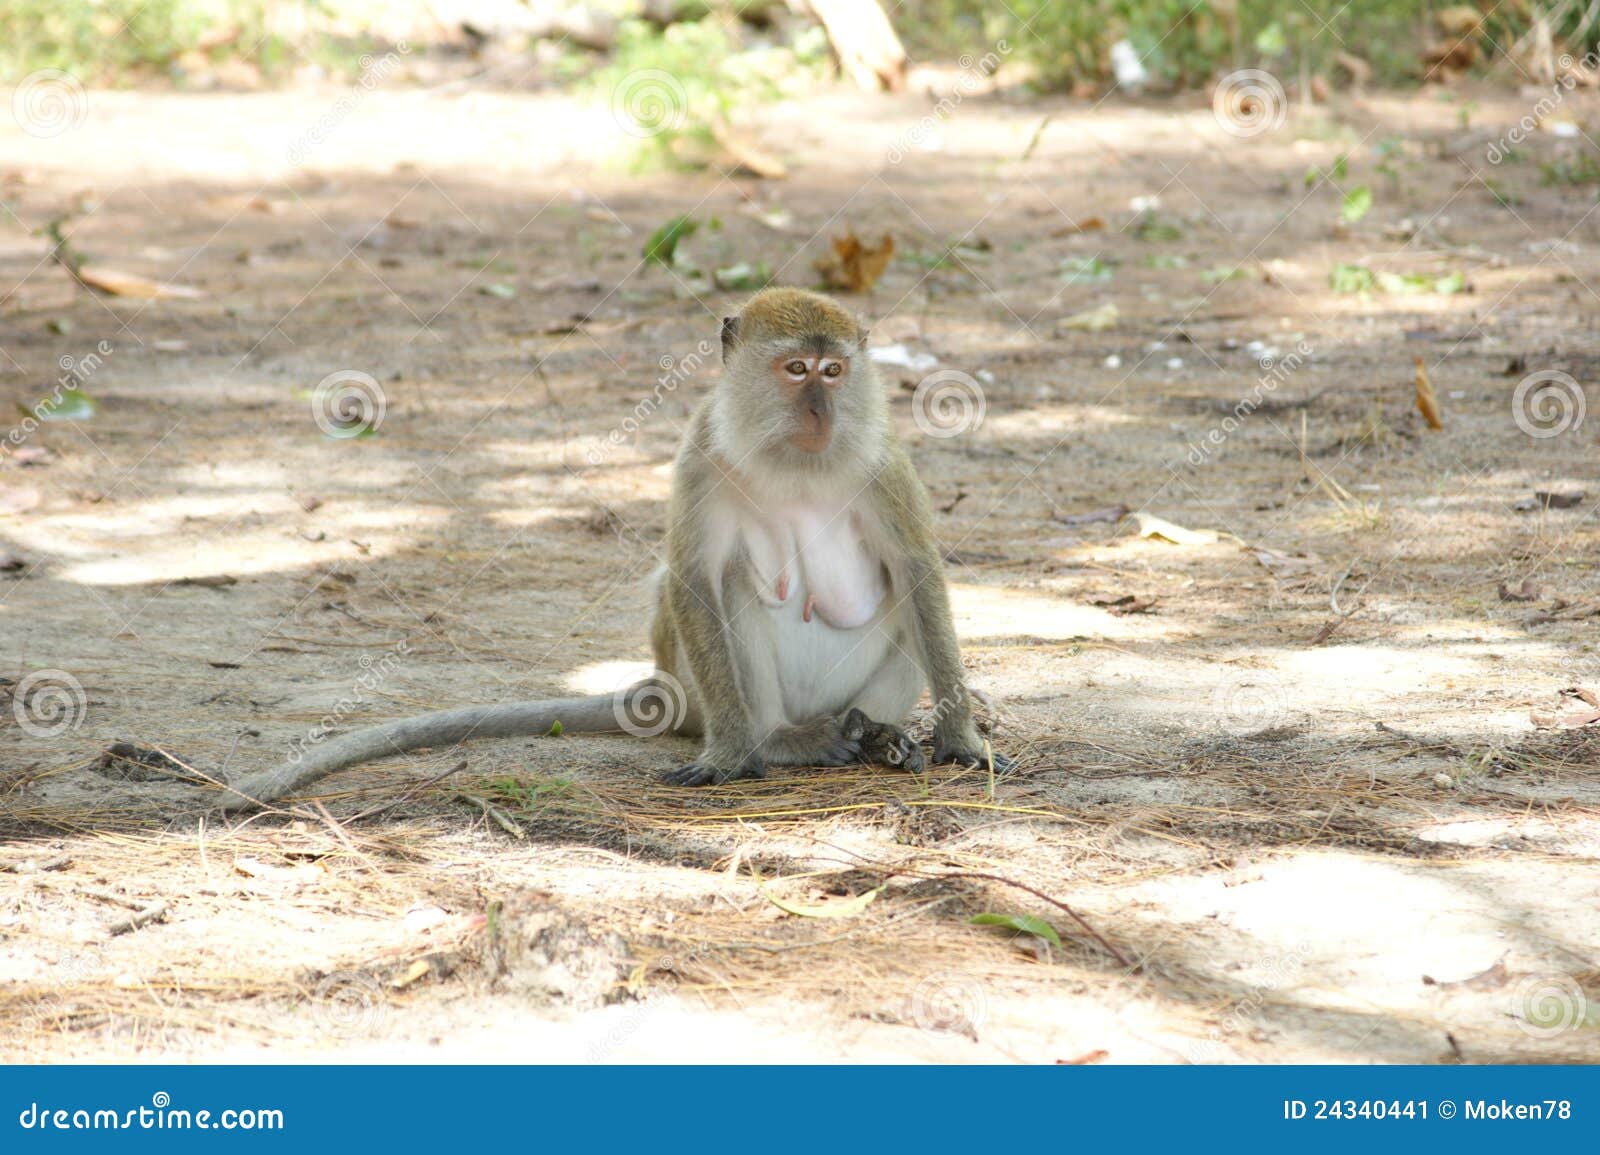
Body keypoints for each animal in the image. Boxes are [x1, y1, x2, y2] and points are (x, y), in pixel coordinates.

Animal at [219, 287, 1010, 811]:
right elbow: (694, 578)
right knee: (734, 583)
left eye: (834, 372)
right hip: (709, 690)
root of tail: (671, 696)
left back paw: (873, 733)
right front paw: (731, 757)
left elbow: (914, 568)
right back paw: (782, 741)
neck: (796, 459)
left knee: (900, 600)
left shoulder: (881, 459)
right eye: (796, 371)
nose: (820, 413)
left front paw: (962, 739)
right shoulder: (702, 452)